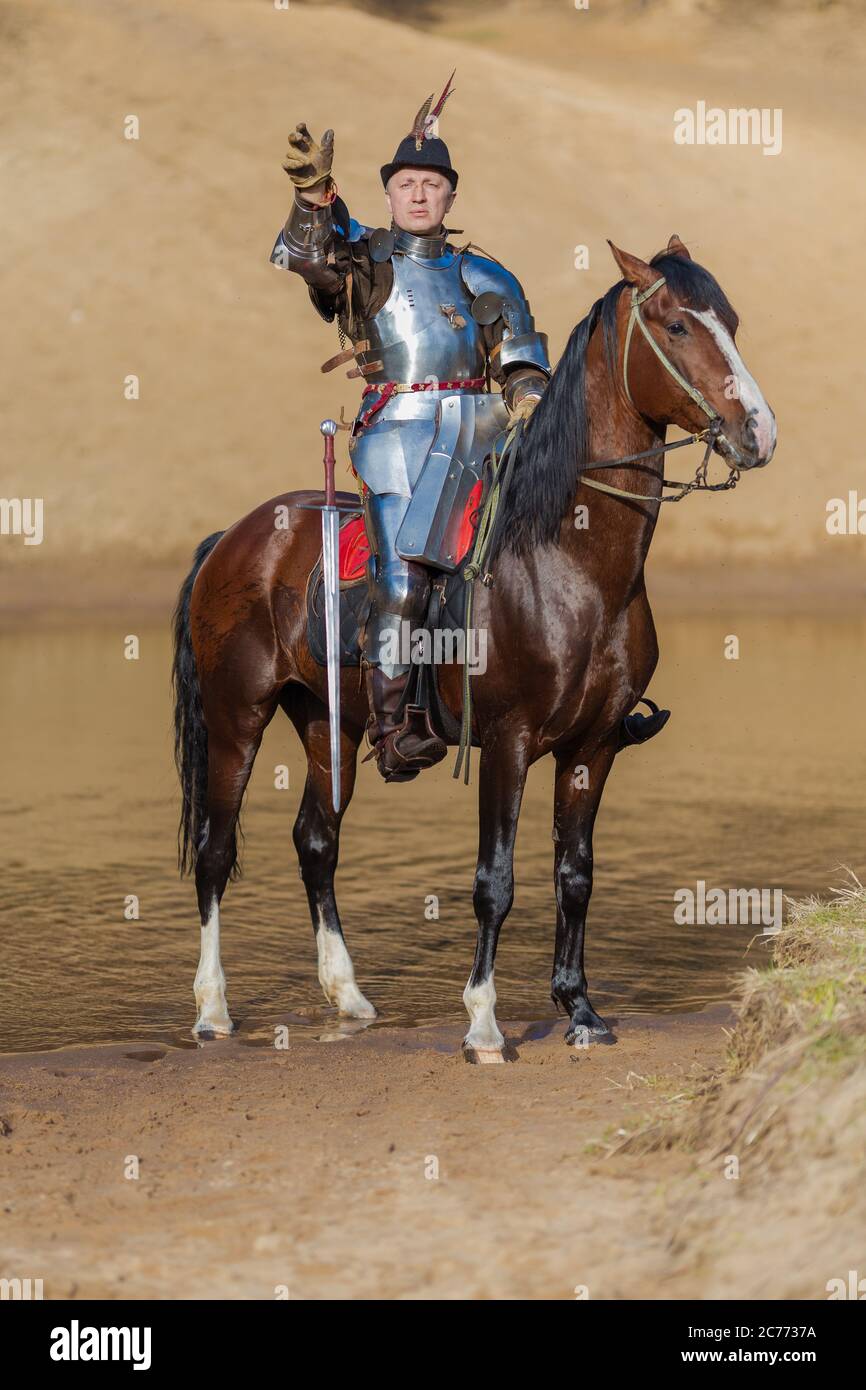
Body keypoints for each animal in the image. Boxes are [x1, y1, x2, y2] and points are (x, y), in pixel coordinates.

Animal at [171, 235, 776, 1061]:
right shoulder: (508, 743)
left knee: (316, 841)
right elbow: (496, 881)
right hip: (238, 718)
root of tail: (234, 537)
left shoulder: (592, 749)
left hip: (328, 722)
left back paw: (348, 995)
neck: (565, 557)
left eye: (733, 322)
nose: (759, 432)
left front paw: (579, 1010)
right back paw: (212, 1009)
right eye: (679, 326)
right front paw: (484, 1023)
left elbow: (575, 875)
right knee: (214, 849)